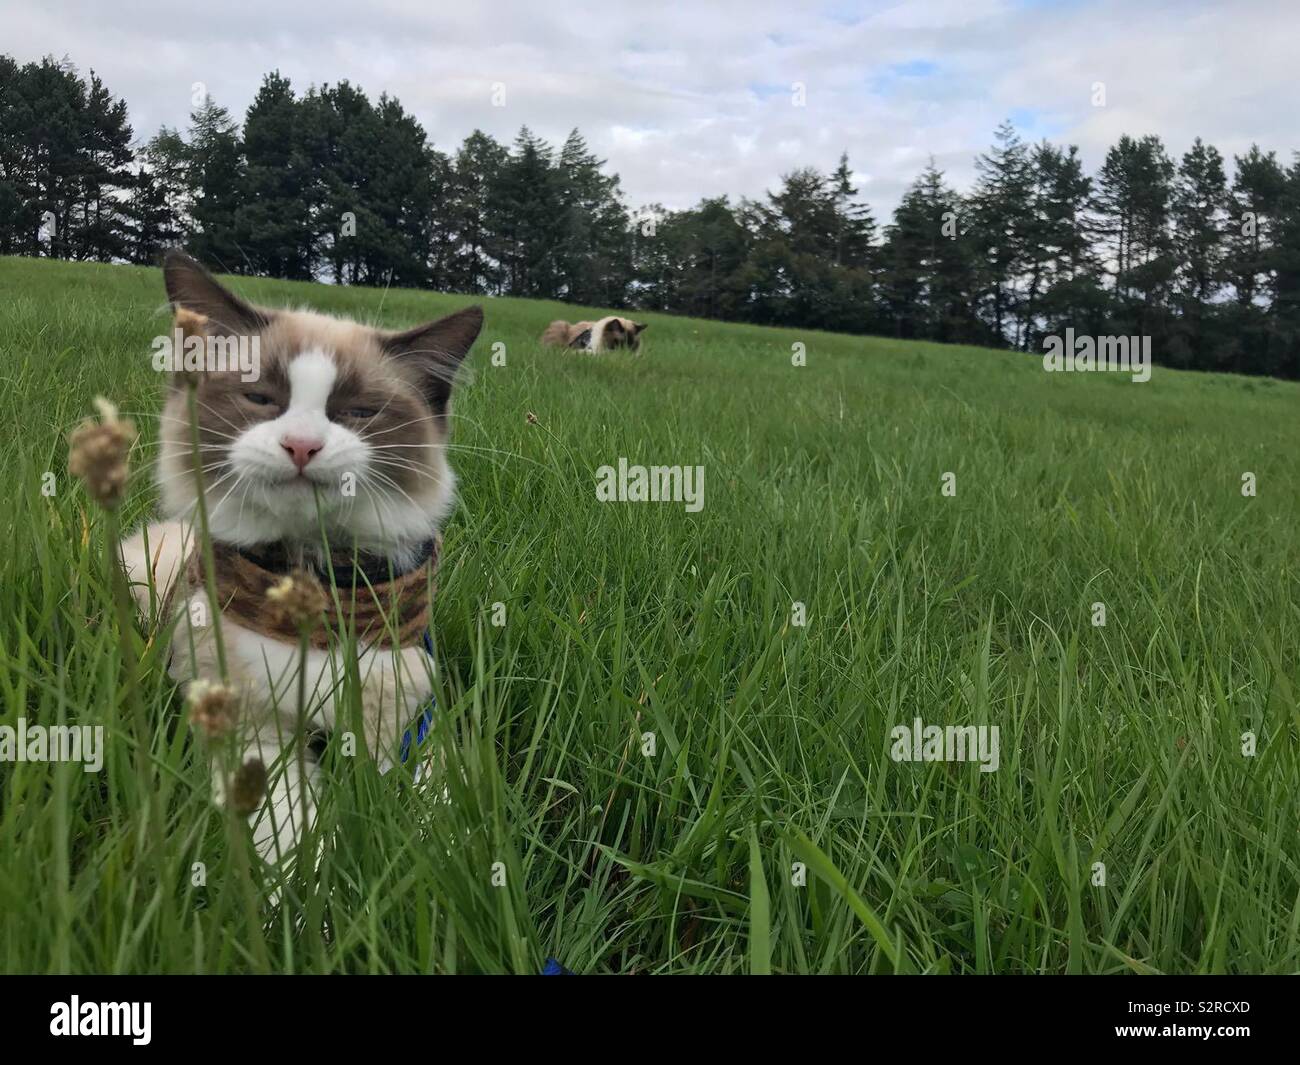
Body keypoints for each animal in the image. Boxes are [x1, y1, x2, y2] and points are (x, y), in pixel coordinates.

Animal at [122, 252, 483, 868]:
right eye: (261, 399)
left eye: (358, 412)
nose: (301, 447)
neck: (320, 592)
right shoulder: (255, 733)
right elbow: (293, 832)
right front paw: (314, 887)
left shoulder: (408, 723)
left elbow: (437, 815)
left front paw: (443, 871)